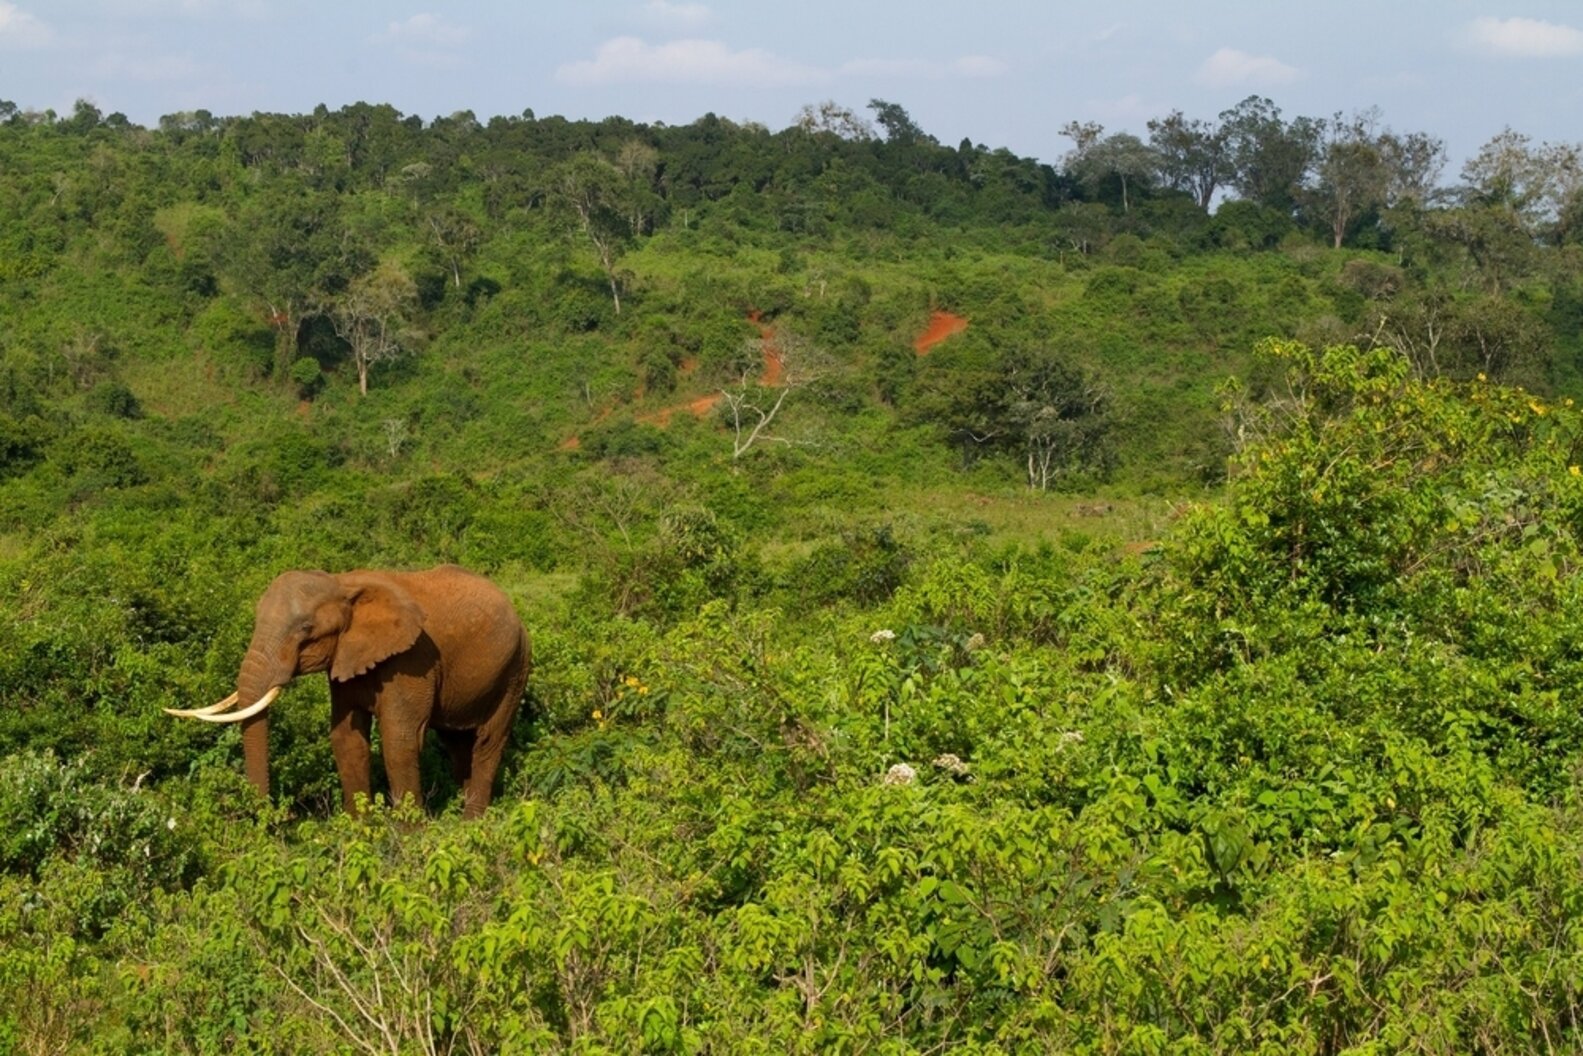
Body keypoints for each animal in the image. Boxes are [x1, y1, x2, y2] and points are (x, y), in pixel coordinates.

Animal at [167, 565, 530, 819]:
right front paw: (360, 833)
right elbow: (346, 739)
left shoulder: (413, 659)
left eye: (306, 630)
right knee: (457, 745)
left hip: (516, 669)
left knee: (487, 742)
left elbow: (399, 741)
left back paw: (472, 825)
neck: (342, 583)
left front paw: (408, 841)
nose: (272, 819)